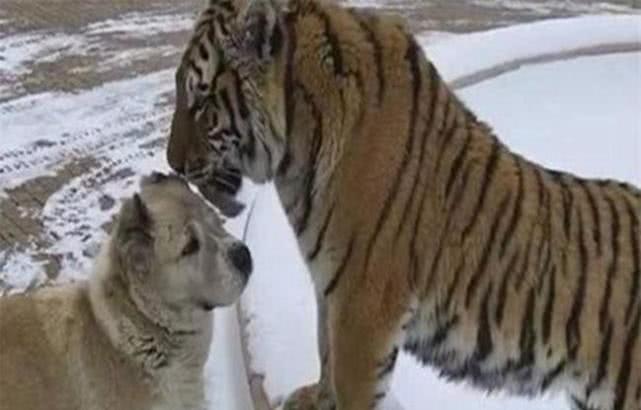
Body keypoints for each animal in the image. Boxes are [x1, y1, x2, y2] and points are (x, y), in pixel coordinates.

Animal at [165, 0, 641, 409]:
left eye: (200, 102)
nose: (172, 163)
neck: (298, 144)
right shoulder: (329, 289)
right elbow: (323, 349)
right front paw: (316, 398)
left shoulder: (363, 305)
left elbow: (348, 378)